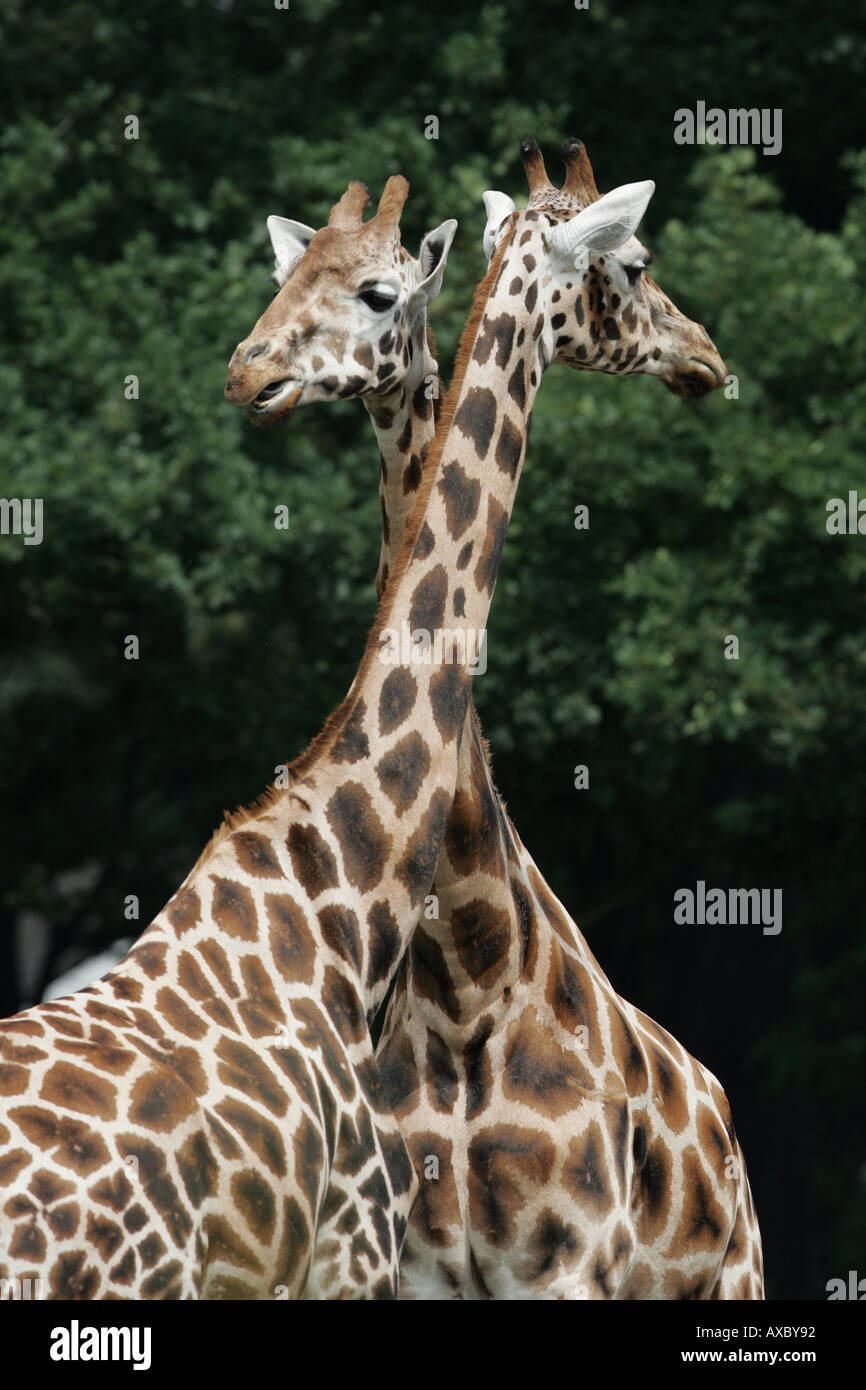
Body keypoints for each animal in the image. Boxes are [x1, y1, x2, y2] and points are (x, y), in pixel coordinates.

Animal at [223, 144, 763, 1299]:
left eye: (375, 291)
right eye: (285, 277)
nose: (702, 354)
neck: (463, 967)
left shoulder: (567, 1266)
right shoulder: (406, 1261)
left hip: (735, 1272)